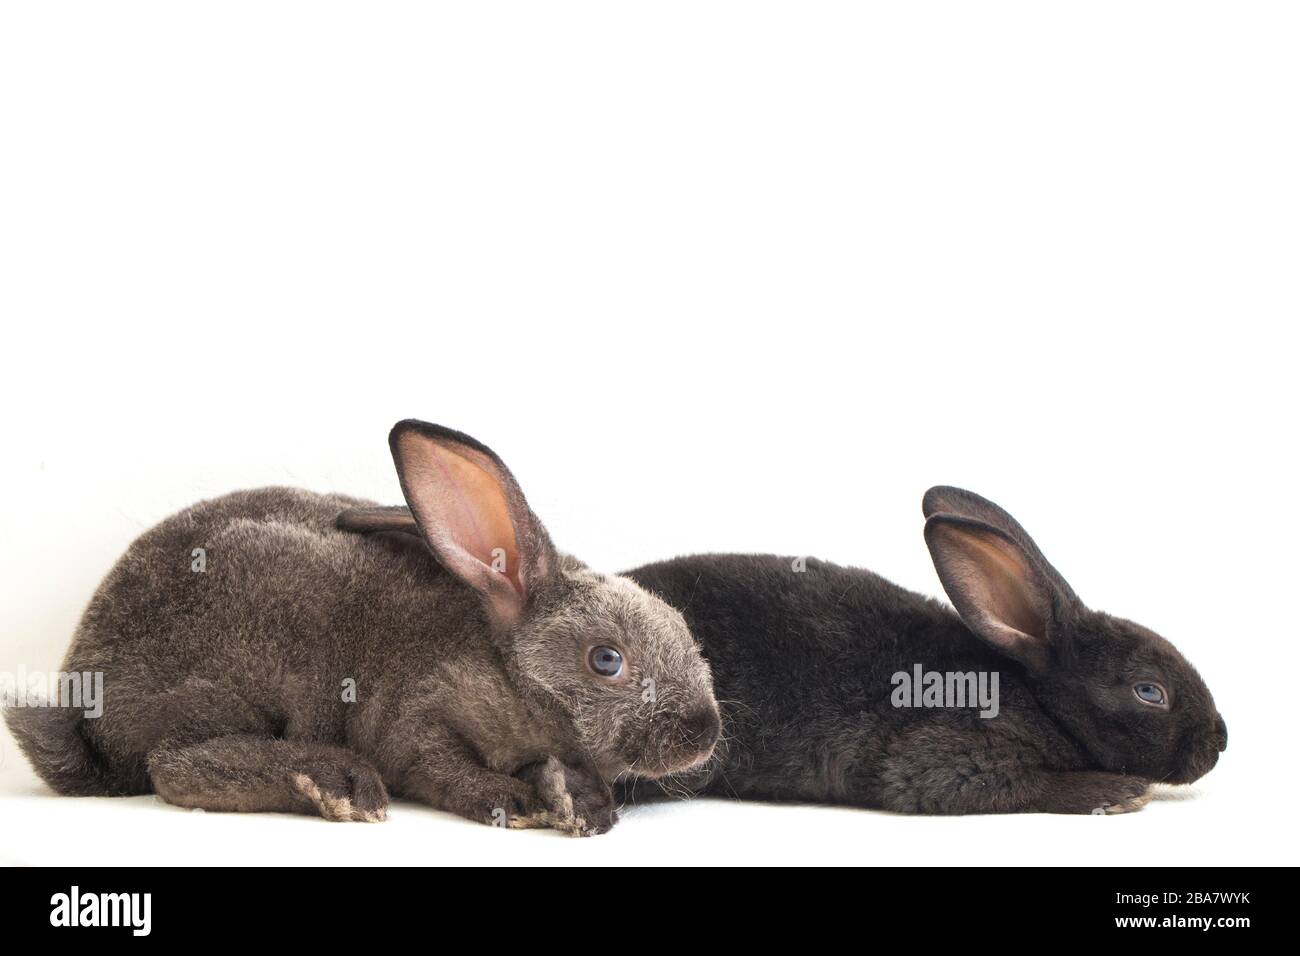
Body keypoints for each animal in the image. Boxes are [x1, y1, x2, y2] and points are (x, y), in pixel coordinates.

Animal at [4, 420, 720, 835]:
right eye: (607, 660)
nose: (705, 734)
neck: (511, 674)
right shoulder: (416, 718)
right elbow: (438, 764)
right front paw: (514, 802)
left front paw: (584, 803)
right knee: (177, 765)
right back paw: (335, 784)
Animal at [620, 486, 1226, 814]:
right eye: (1150, 692)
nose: (1220, 741)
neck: (1039, 701)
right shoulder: (948, 760)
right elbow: (1025, 784)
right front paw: (1119, 792)